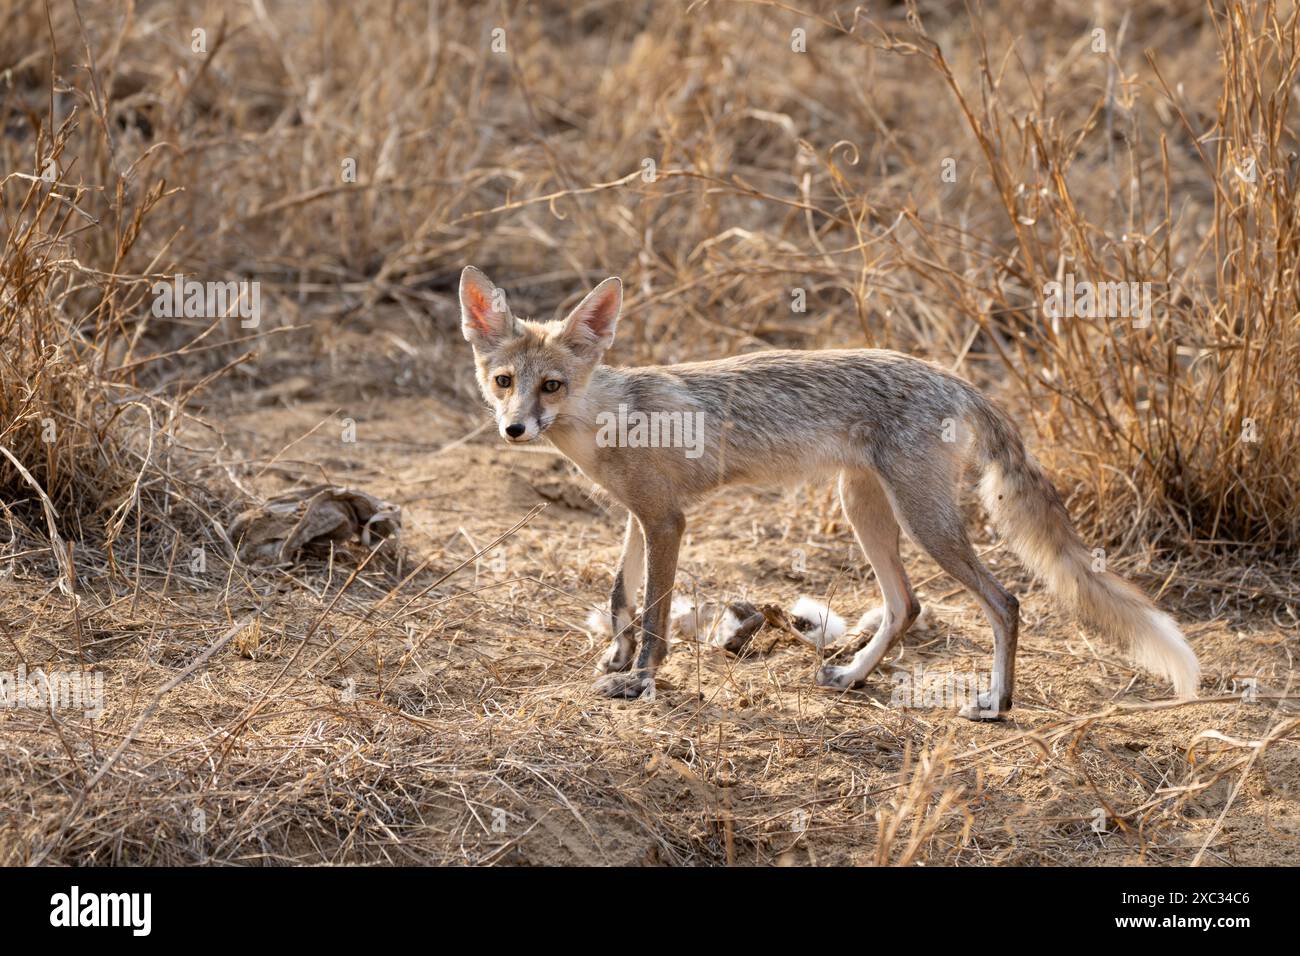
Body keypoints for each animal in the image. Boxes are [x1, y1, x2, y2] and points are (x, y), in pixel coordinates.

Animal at [458, 265, 1201, 717]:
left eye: (552, 384)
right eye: (504, 381)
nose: (515, 428)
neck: (607, 419)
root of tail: (955, 378)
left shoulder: (668, 520)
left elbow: (657, 617)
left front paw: (640, 679)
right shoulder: (640, 516)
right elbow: (622, 595)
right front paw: (614, 654)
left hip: (923, 521)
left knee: (1005, 601)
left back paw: (997, 704)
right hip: (864, 507)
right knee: (907, 605)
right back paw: (852, 677)